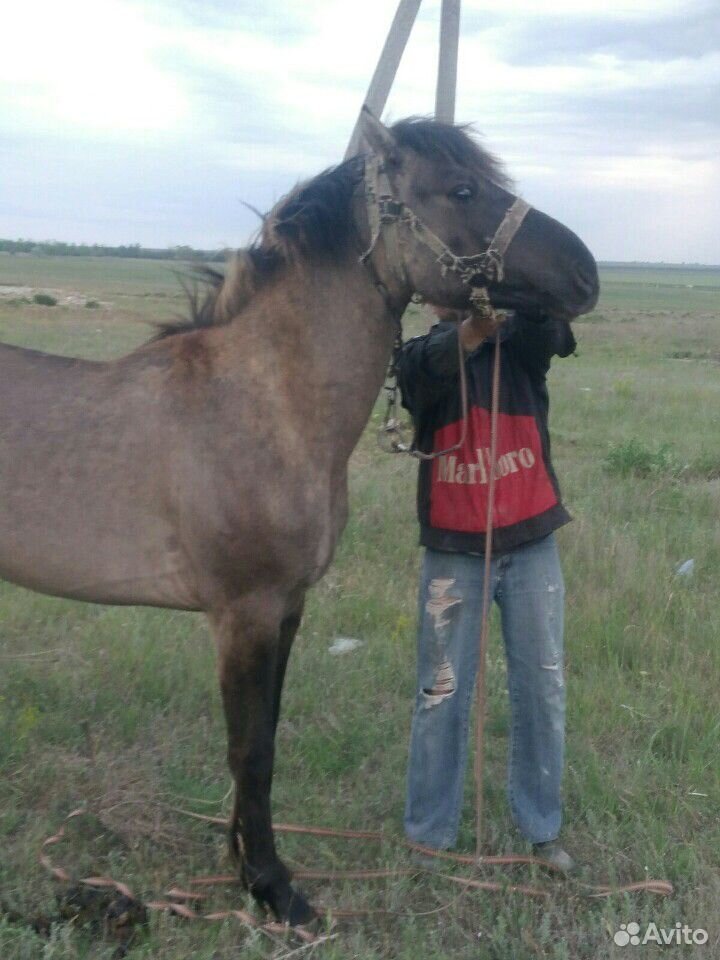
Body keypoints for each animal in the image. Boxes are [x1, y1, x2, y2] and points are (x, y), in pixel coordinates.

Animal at [0, 111, 598, 925]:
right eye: (462, 189)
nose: (587, 273)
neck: (269, 402)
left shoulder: (287, 608)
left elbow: (267, 735)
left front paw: (243, 863)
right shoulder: (244, 614)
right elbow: (249, 748)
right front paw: (276, 890)